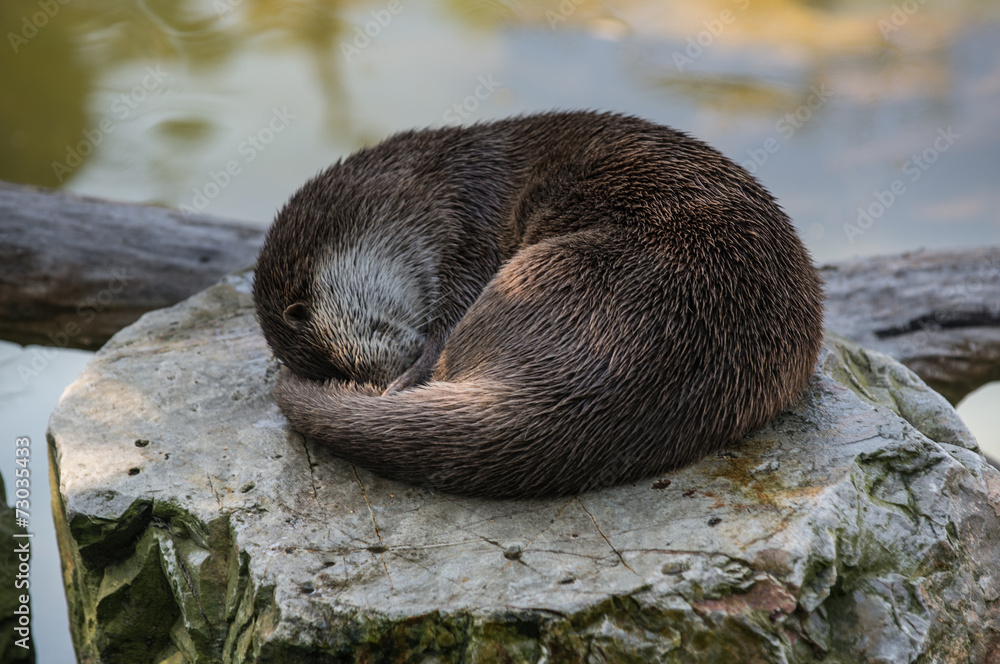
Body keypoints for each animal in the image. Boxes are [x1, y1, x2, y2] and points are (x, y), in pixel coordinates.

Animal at [253, 111, 824, 499]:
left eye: (337, 366)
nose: (377, 383)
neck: (425, 193)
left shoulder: (470, 228)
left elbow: (449, 311)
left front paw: (404, 381)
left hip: (535, 272)